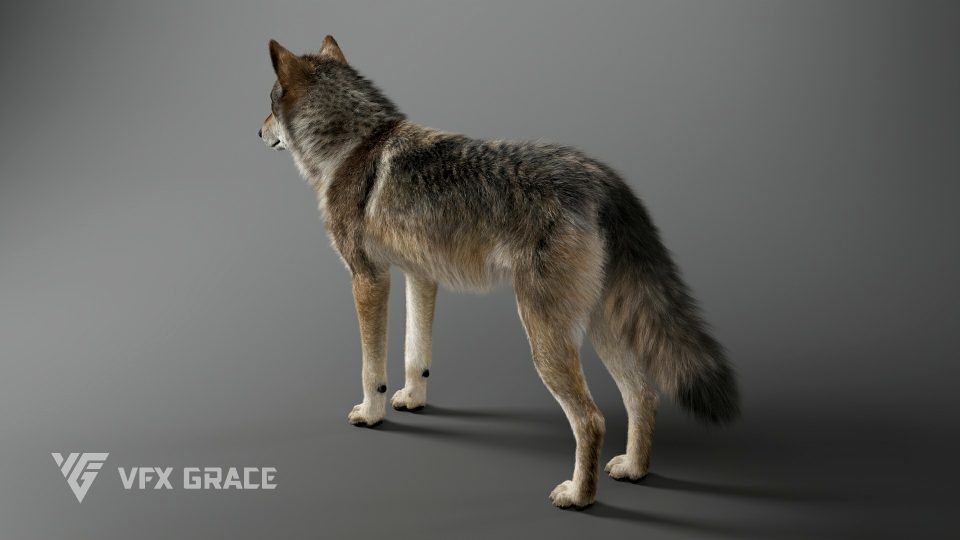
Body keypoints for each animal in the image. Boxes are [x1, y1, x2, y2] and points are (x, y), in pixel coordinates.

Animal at [259, 36, 739, 508]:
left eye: (268, 101)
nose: (257, 131)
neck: (355, 145)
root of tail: (602, 178)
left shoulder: (368, 278)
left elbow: (370, 366)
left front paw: (370, 414)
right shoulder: (420, 276)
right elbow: (416, 355)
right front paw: (413, 400)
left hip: (545, 338)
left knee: (592, 419)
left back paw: (578, 496)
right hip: (603, 330)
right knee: (643, 395)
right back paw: (634, 470)